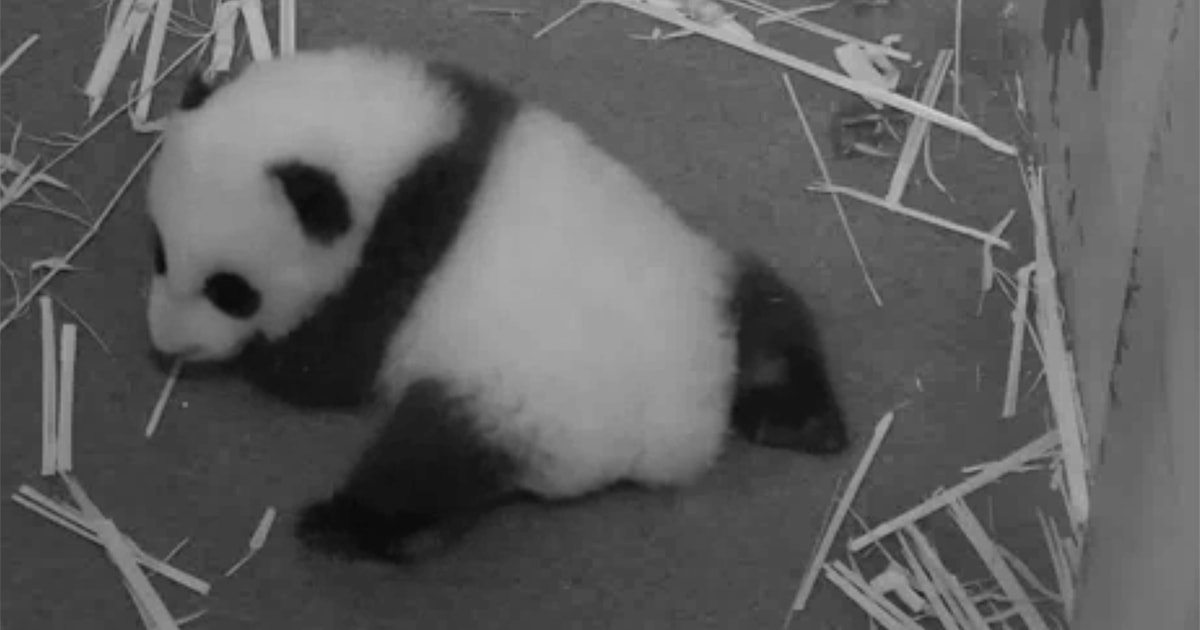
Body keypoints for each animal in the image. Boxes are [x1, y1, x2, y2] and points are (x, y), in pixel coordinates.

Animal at [144, 45, 850, 563]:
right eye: (159, 253)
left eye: (230, 290)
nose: (169, 344)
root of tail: (683, 431)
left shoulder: (387, 268)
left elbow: (331, 369)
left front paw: (262, 357)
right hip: (707, 282)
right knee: (775, 317)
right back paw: (804, 418)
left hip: (509, 402)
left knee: (425, 465)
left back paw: (345, 525)